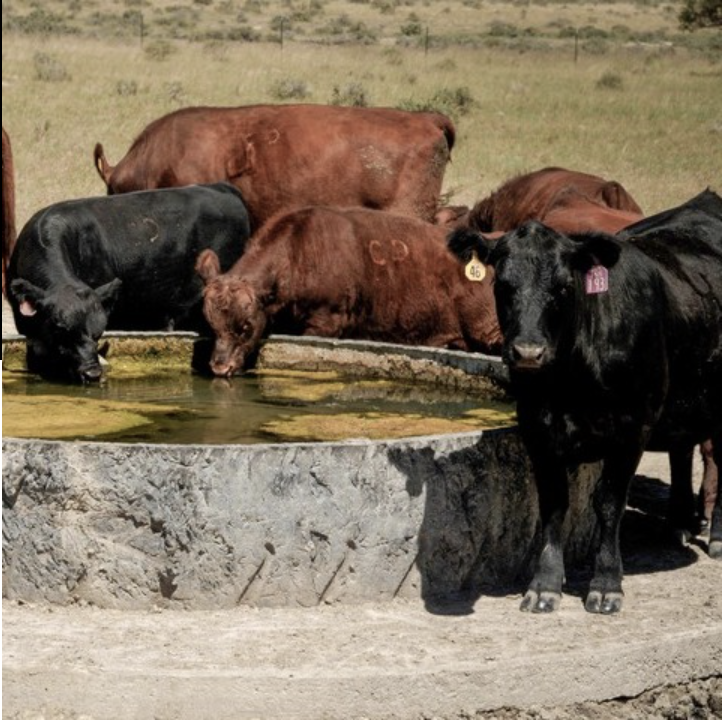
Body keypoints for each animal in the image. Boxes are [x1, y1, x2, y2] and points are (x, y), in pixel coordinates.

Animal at [195, 206, 502, 378]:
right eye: (211, 324)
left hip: (488, 332)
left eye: (245, 326)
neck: (298, 253)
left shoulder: (324, 323)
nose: (220, 368)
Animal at [448, 188, 722, 615]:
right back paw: (677, 522)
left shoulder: (633, 426)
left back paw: (717, 536)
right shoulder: (537, 425)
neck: (570, 379)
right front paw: (545, 584)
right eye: (503, 285)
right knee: (682, 450)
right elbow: (553, 503)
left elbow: (608, 502)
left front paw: (607, 584)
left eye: (563, 286)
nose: (528, 352)